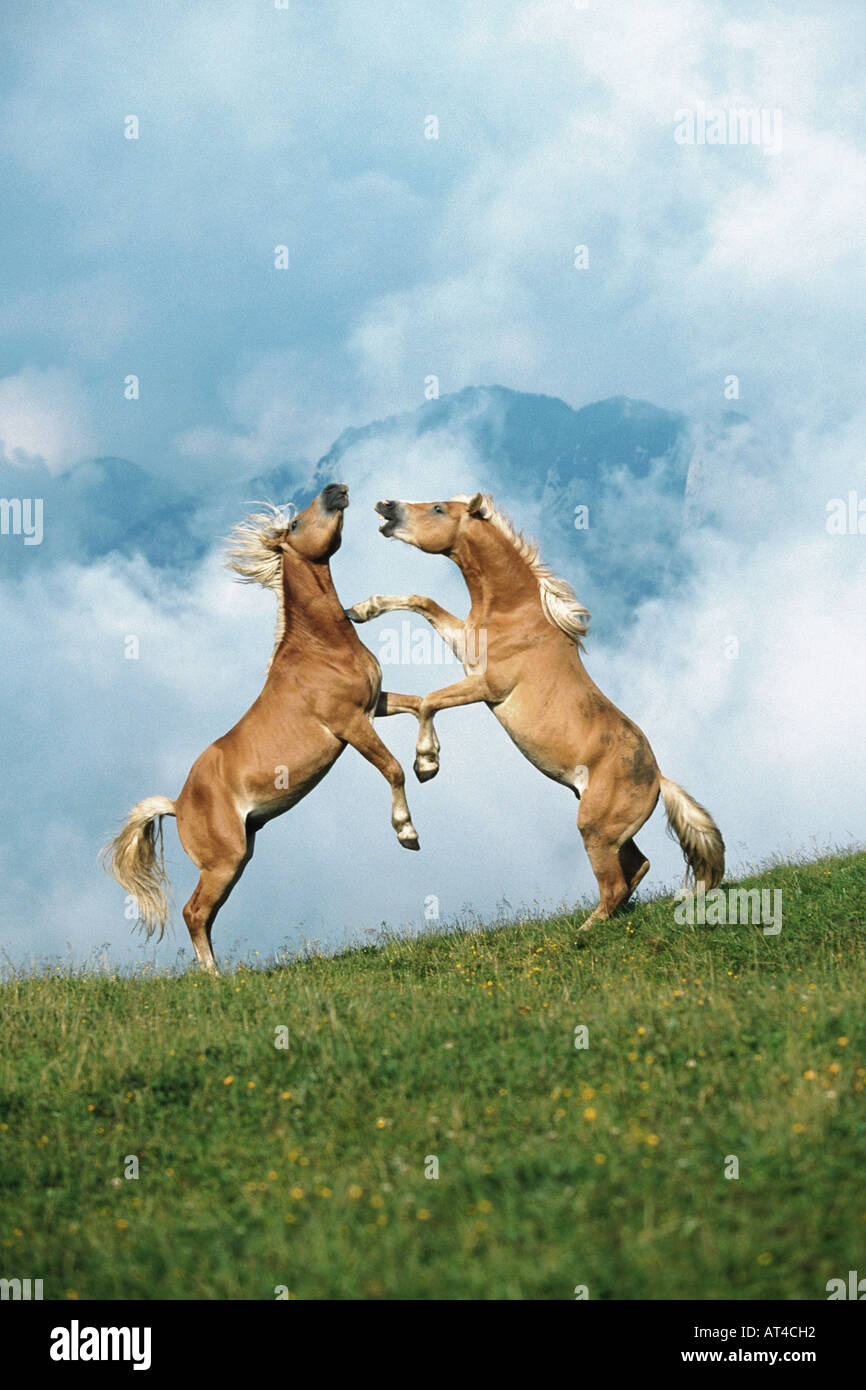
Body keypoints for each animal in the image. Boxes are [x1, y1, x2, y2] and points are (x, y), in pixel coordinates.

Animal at [104, 483, 423, 974]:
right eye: (294, 523)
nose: (336, 489)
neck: (321, 648)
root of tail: (177, 805)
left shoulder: (375, 705)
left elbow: (422, 706)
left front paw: (431, 761)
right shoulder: (349, 724)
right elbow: (393, 769)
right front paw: (407, 833)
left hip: (237, 860)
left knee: (205, 915)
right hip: (224, 861)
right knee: (193, 912)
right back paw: (214, 977)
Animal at [346, 491, 725, 934]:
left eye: (439, 509)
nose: (386, 506)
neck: (515, 613)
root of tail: (659, 778)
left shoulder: (489, 686)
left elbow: (428, 700)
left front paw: (427, 763)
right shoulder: (464, 647)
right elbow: (424, 603)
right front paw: (361, 609)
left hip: (594, 828)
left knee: (615, 883)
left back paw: (583, 932)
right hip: (609, 830)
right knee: (636, 868)